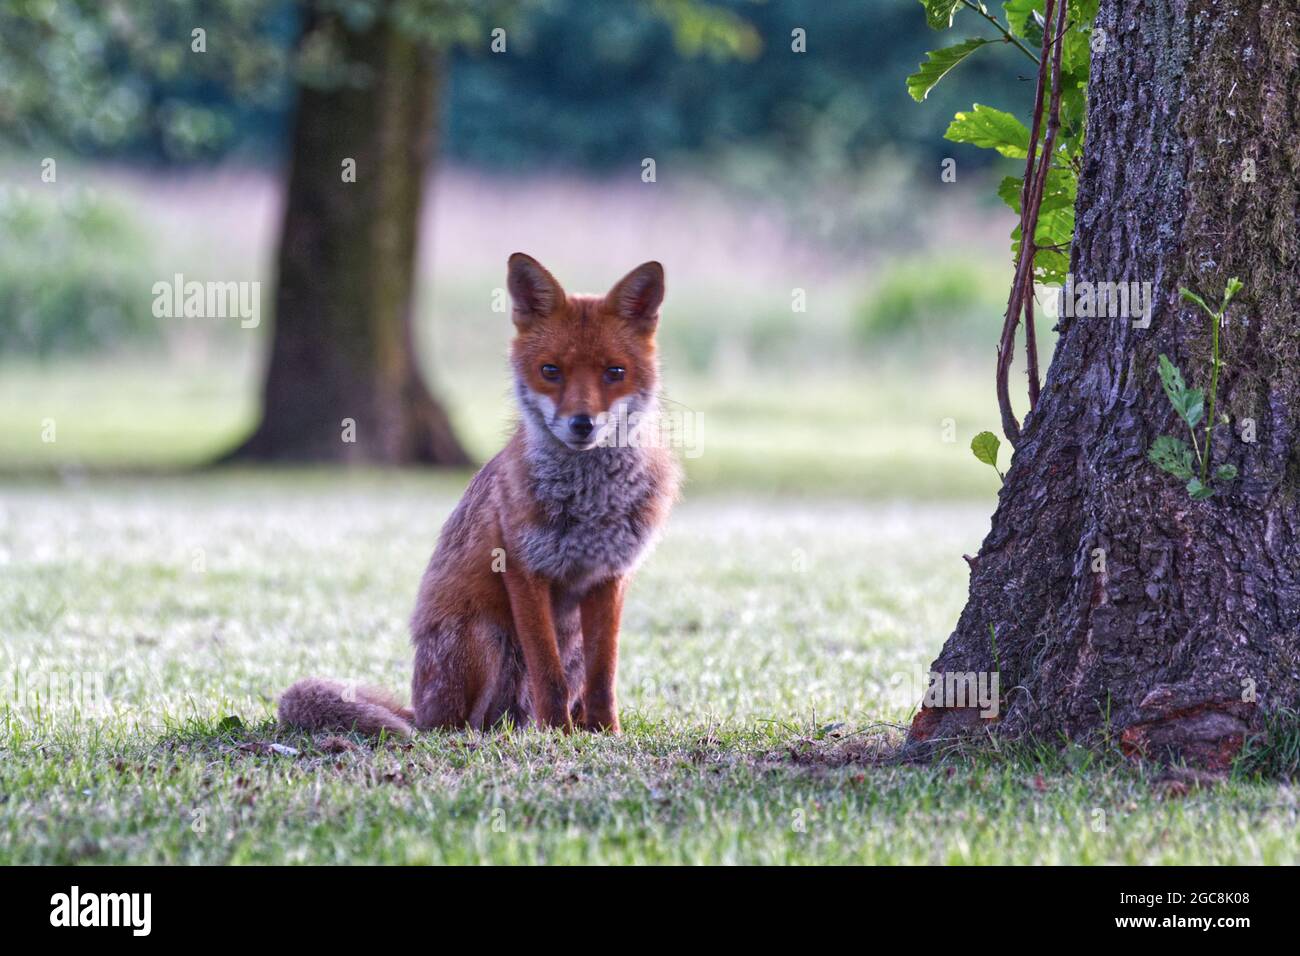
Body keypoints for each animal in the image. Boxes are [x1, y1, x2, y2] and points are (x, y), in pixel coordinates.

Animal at [279, 253, 680, 736]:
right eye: (550, 371)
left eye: (614, 372)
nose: (582, 424)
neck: (589, 504)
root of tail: (421, 709)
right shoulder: (524, 569)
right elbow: (547, 673)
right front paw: (558, 734)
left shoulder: (609, 577)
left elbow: (605, 676)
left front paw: (604, 734)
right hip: (486, 637)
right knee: (464, 723)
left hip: (564, 648)